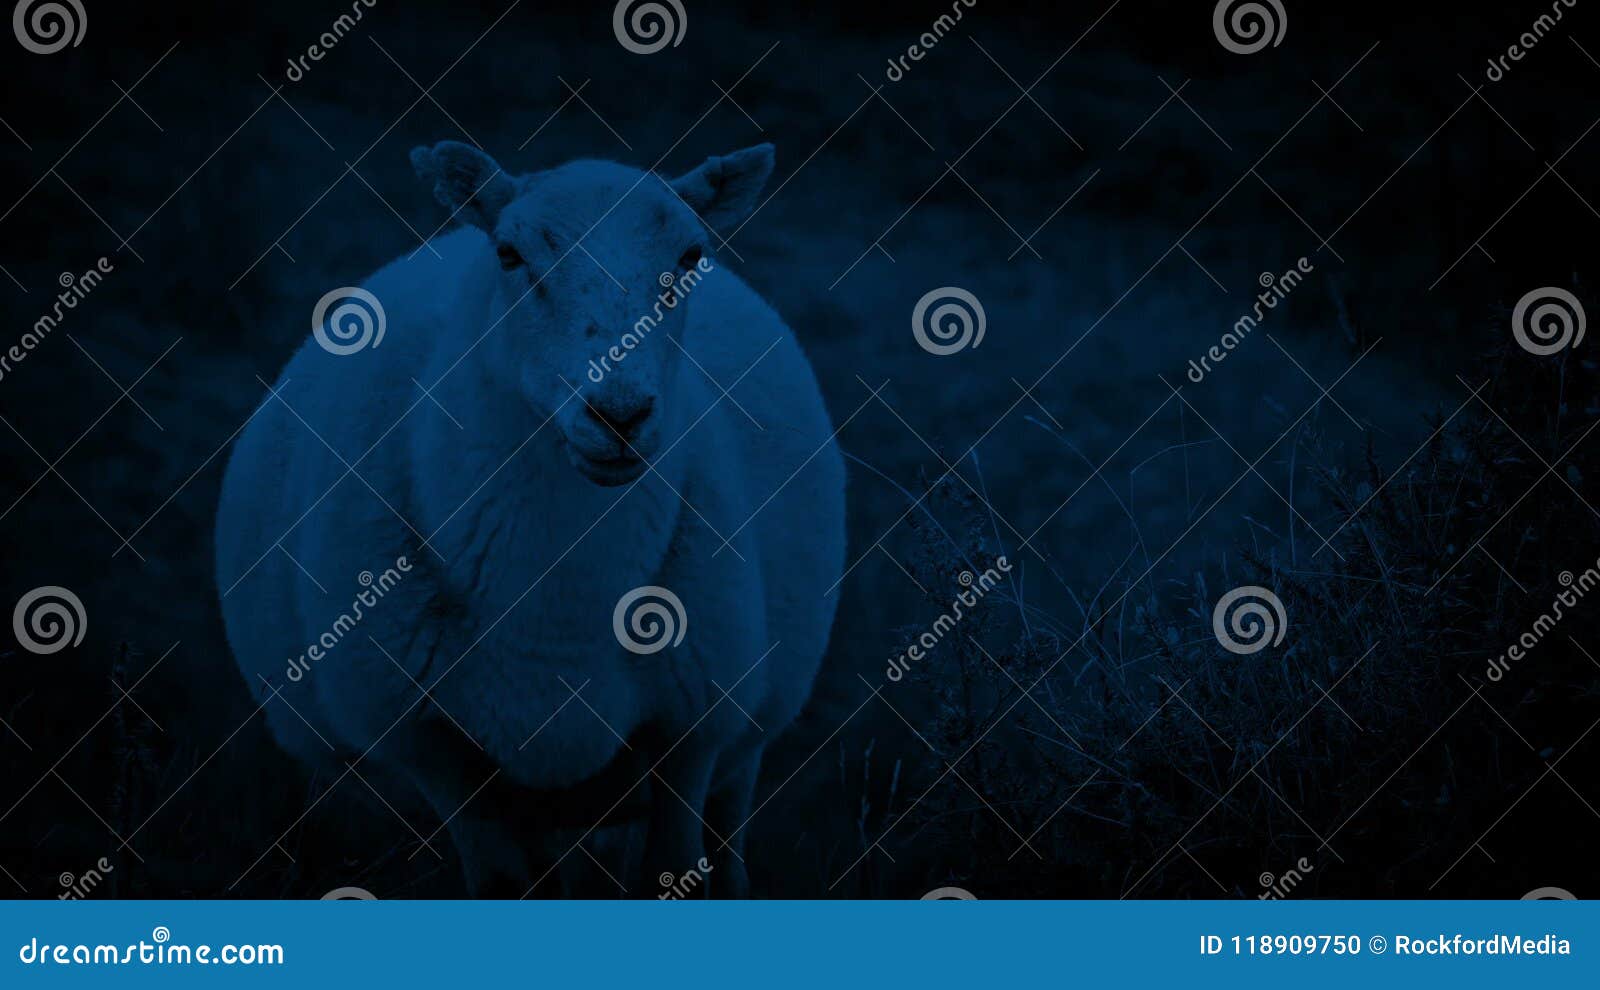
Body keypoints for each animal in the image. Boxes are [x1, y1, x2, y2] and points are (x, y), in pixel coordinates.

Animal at [213, 140, 846, 897]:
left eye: (693, 255)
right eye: (511, 254)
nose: (620, 414)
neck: (555, 614)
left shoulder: (692, 730)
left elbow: (673, 866)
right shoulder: (430, 746)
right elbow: (496, 880)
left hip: (742, 737)